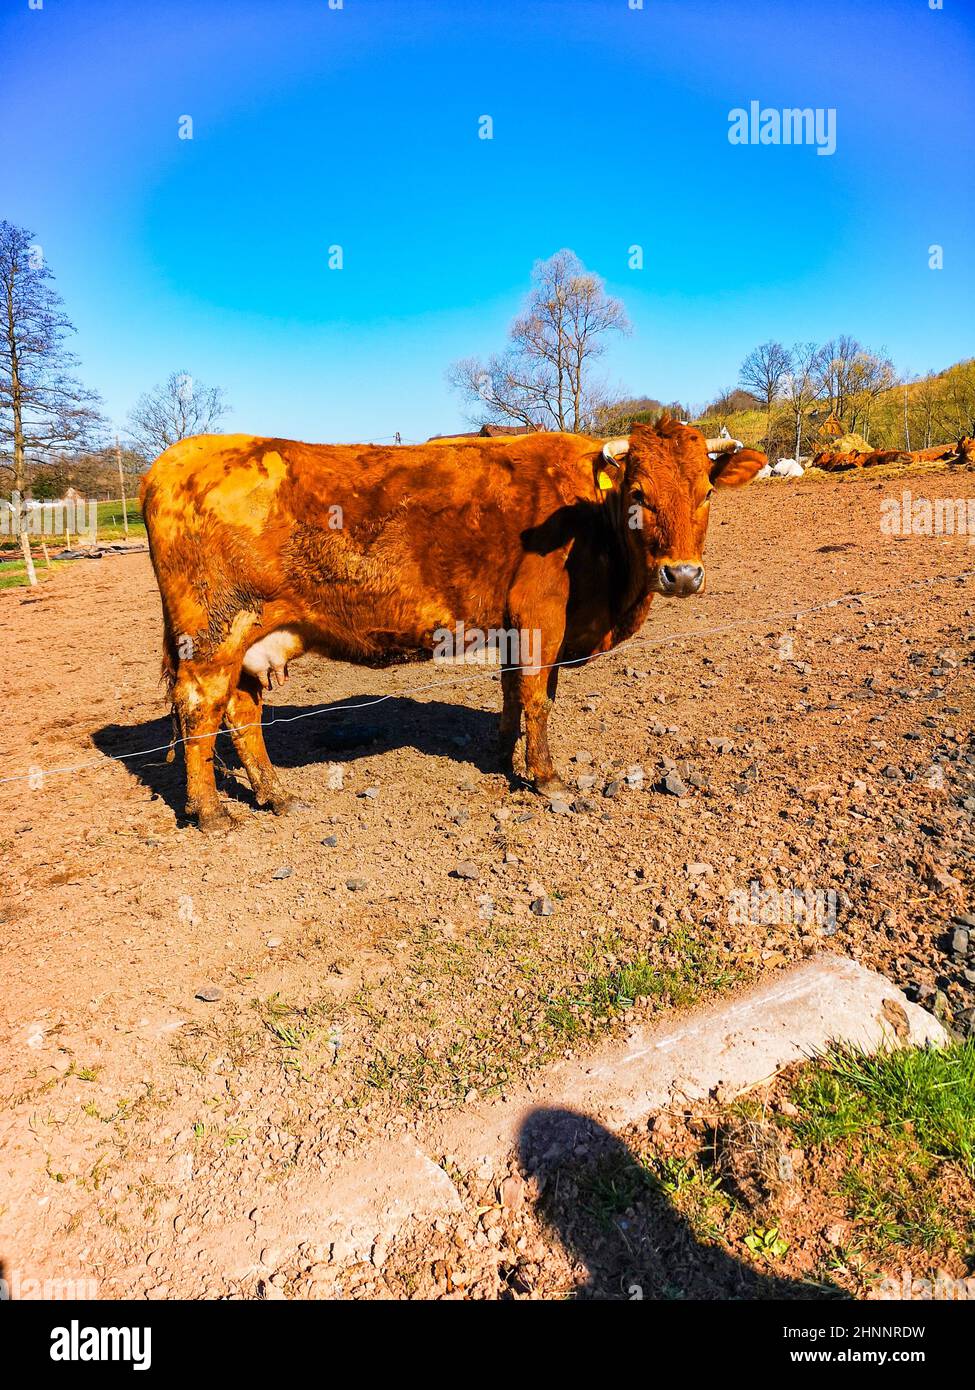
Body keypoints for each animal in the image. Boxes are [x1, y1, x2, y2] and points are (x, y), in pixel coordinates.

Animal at [140, 416, 766, 830]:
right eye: (637, 493)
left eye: (706, 491)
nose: (682, 575)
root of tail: (176, 458)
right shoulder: (541, 616)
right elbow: (537, 697)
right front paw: (544, 776)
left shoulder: (516, 627)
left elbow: (514, 692)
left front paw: (502, 755)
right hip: (213, 636)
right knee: (200, 712)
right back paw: (211, 812)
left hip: (251, 638)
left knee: (242, 713)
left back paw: (276, 795)